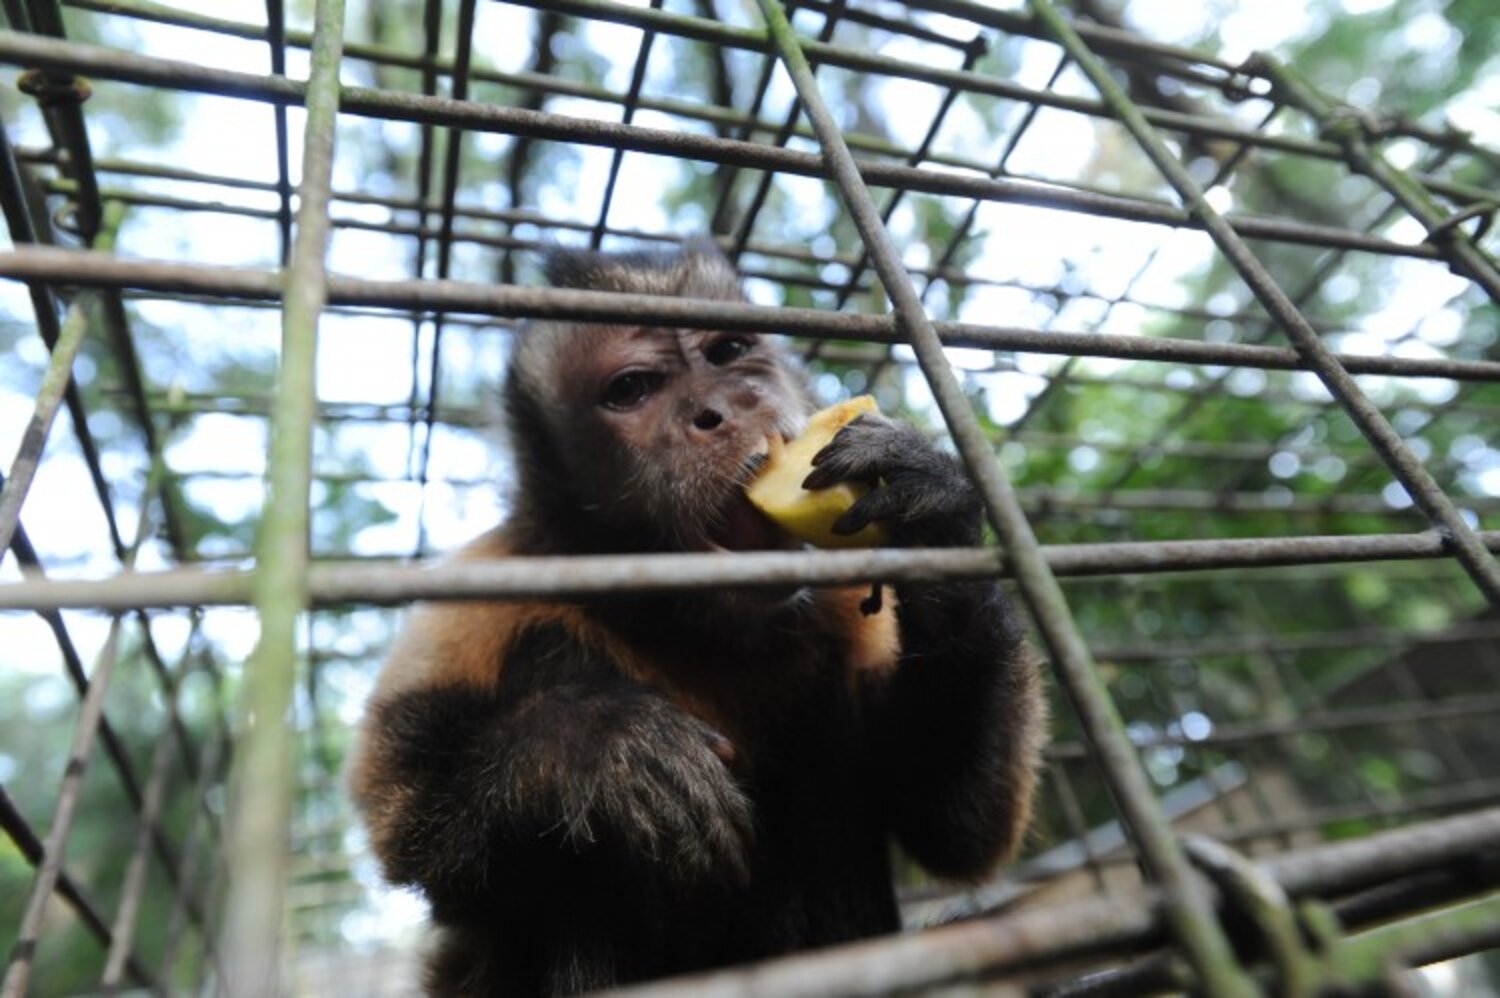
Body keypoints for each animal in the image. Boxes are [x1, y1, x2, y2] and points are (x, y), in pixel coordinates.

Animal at [349, 240, 1046, 997]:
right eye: (632, 390)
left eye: (727, 351)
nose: (720, 410)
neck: (691, 615)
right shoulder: (491, 583)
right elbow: (409, 813)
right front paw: (592, 744)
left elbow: (952, 819)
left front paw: (934, 510)